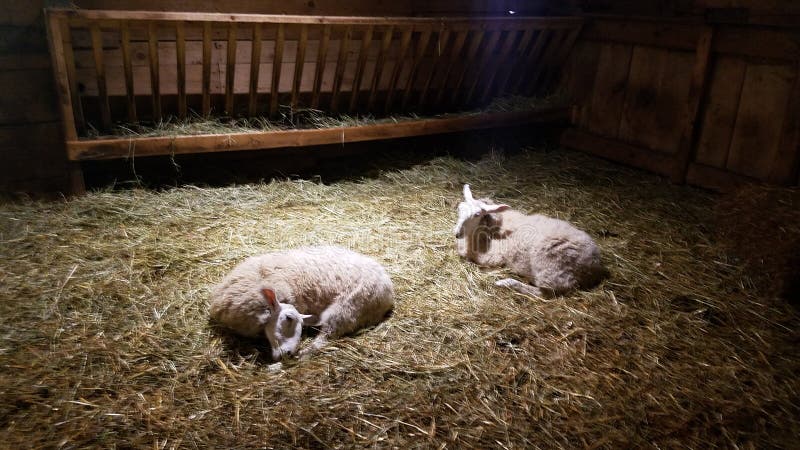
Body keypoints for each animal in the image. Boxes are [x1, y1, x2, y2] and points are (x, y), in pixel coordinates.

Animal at [454, 184, 606, 297]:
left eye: (477, 215)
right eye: (460, 208)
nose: (457, 233)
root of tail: (594, 264)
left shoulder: (493, 257)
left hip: (550, 265)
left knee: (546, 293)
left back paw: (507, 283)